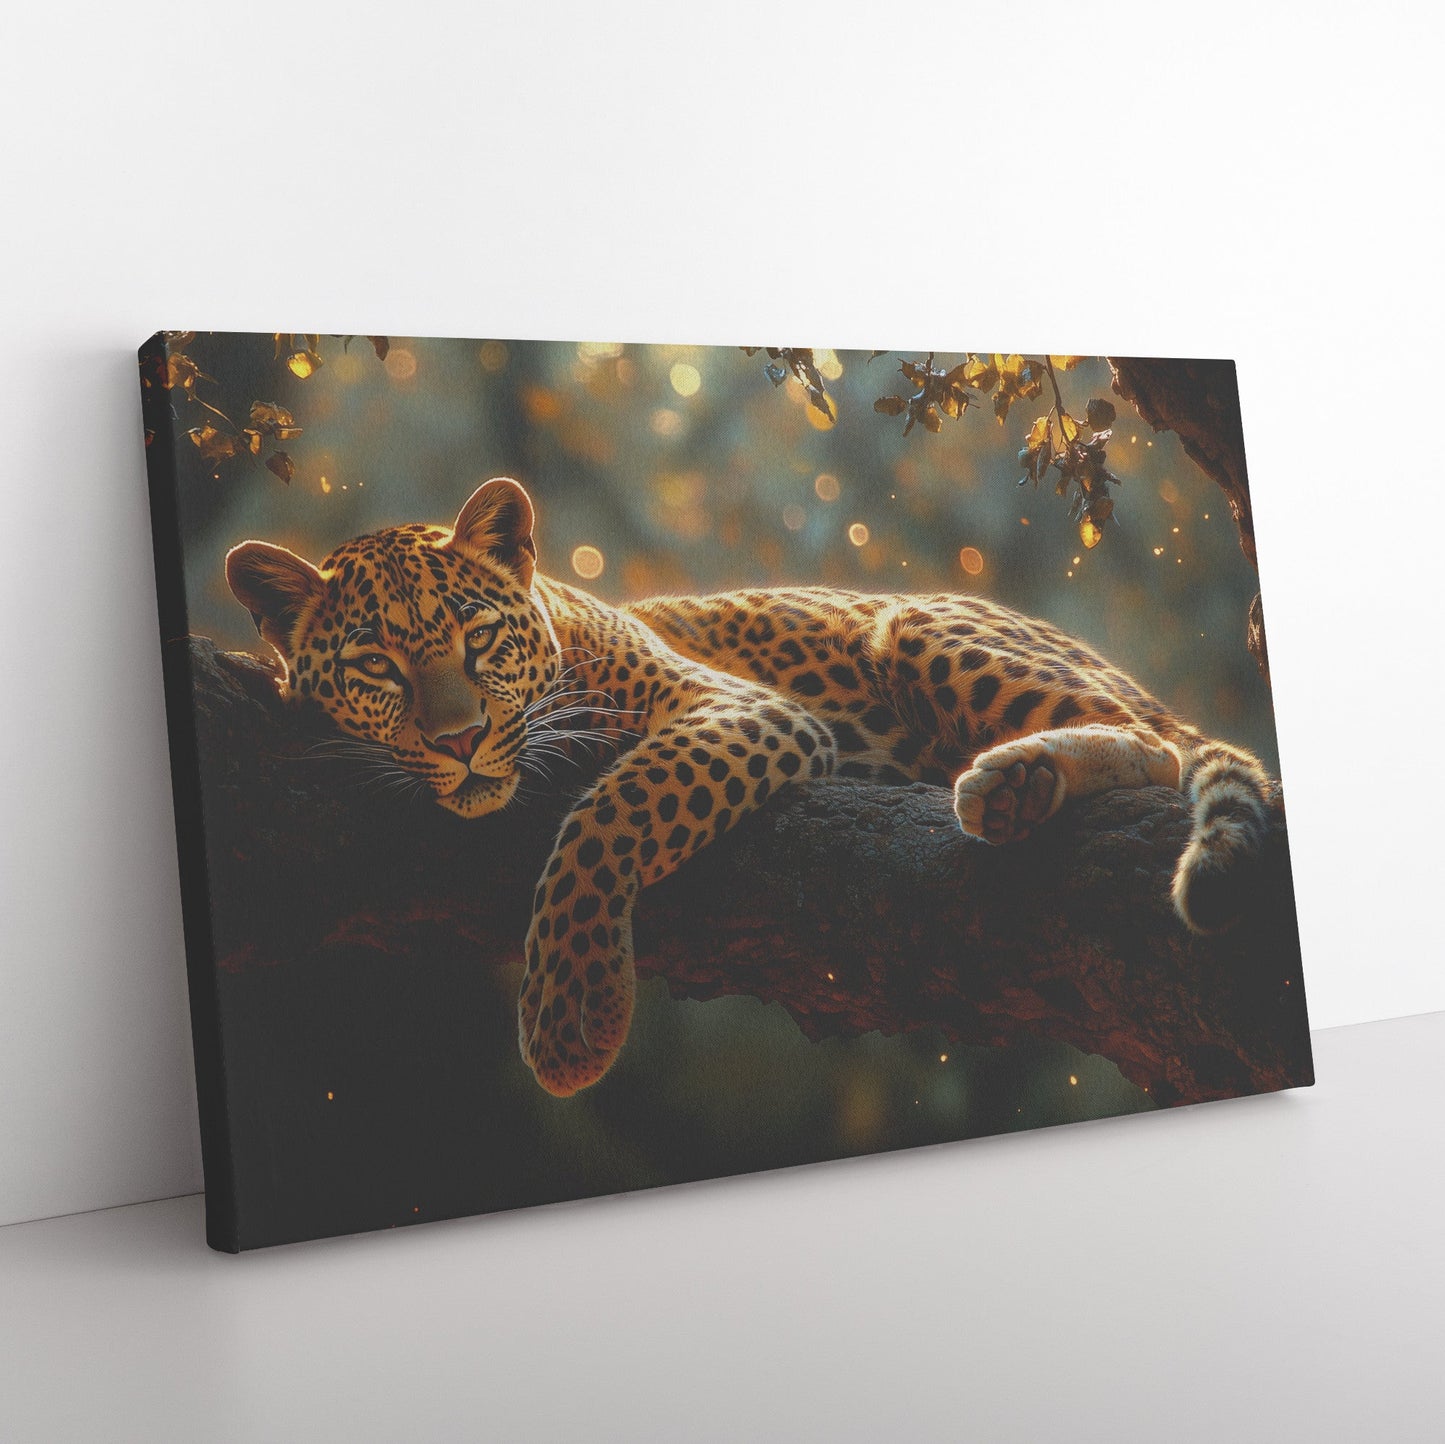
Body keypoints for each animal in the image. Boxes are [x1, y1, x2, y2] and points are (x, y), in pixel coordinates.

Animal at [226, 477, 1275, 1097]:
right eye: (376, 667)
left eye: (478, 638)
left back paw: (1014, 777)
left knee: (1163, 747)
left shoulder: (743, 708)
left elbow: (607, 812)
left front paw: (572, 1013)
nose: (461, 740)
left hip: (925, 624)